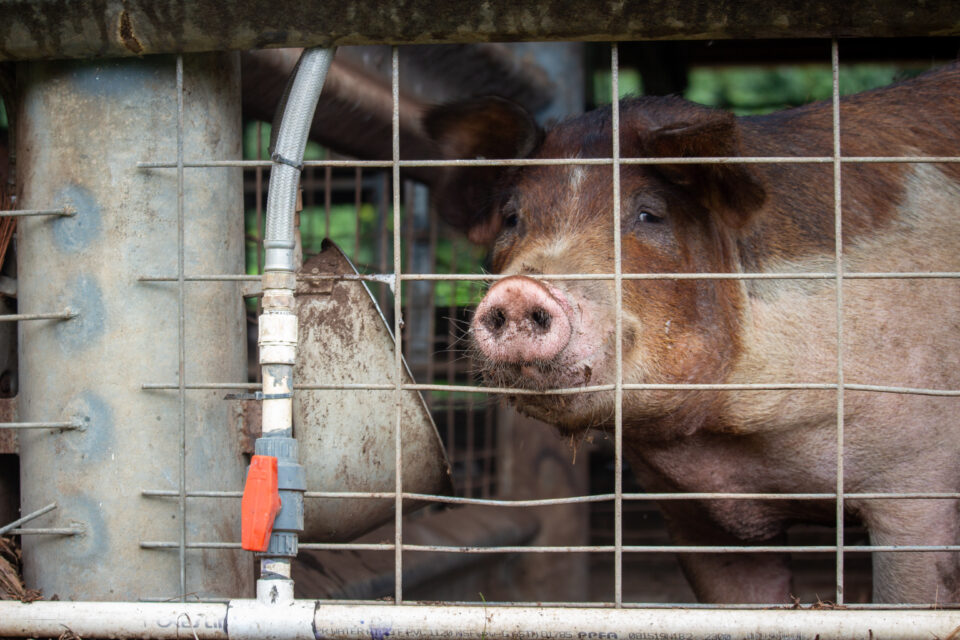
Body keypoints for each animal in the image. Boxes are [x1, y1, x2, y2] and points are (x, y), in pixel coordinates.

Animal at [423, 63, 960, 605]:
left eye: (650, 214)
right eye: (513, 217)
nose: (519, 289)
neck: (729, 442)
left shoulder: (917, 481)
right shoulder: (697, 516)